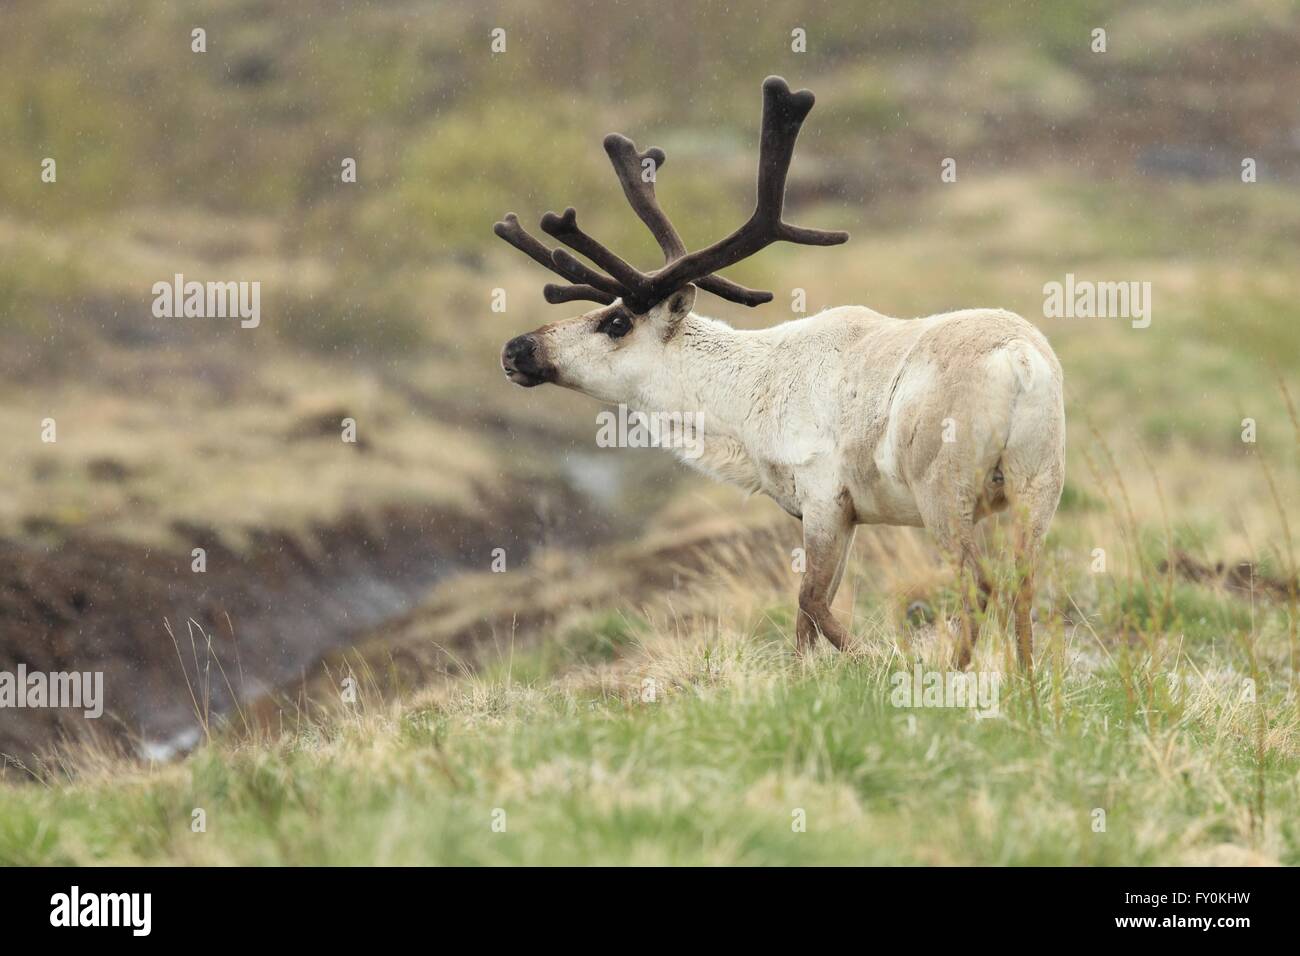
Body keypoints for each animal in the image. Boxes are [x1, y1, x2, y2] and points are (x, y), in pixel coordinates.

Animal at [495, 76, 1065, 670]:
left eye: (615, 321)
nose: (516, 348)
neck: (743, 403)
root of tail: (1020, 361)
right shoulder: (845, 515)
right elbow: (807, 616)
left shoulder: (822, 495)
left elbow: (809, 601)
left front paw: (866, 661)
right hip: (1038, 482)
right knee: (1024, 584)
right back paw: (1025, 681)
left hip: (943, 486)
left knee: (980, 583)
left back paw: (948, 672)